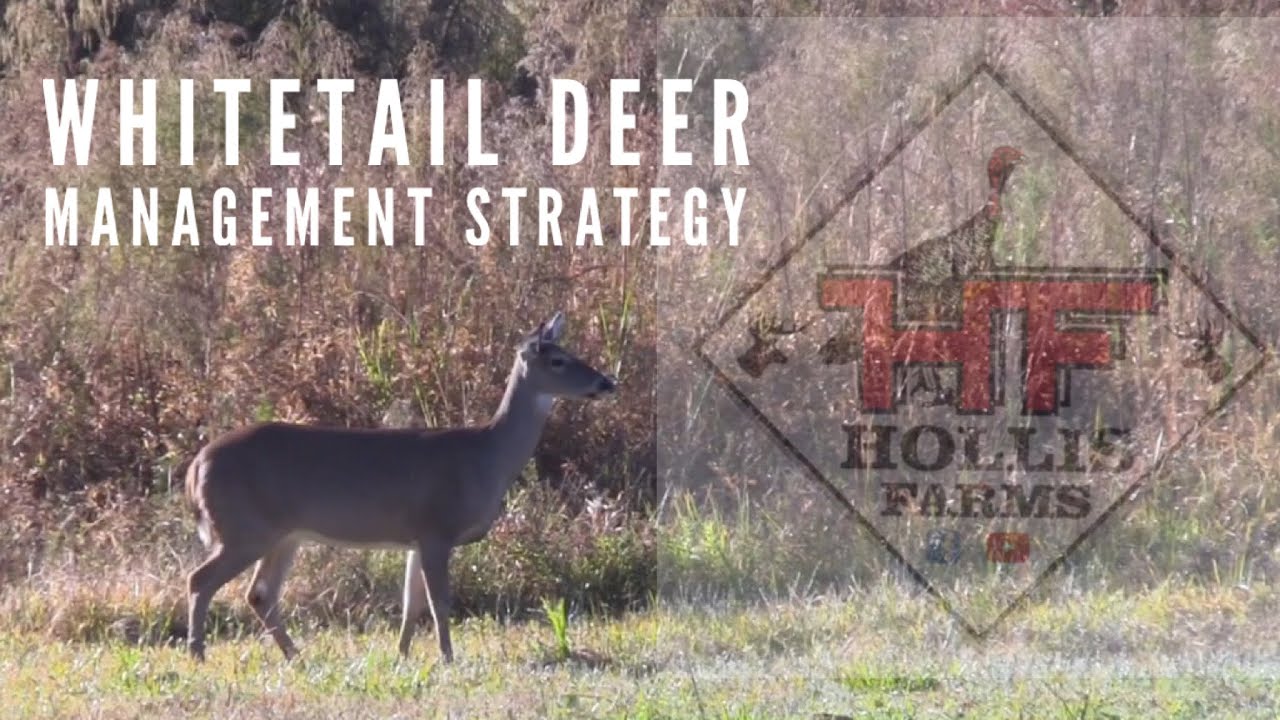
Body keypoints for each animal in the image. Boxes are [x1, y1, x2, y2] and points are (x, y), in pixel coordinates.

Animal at [183, 311, 616, 664]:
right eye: (558, 360)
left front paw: (402, 655)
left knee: (260, 593)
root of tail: (196, 465)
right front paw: (447, 658)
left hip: (284, 534)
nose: (606, 382)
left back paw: (296, 656)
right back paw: (199, 654)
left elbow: (411, 603)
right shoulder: (436, 527)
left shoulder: (415, 537)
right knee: (200, 580)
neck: (486, 456)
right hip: (244, 529)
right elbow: (439, 601)